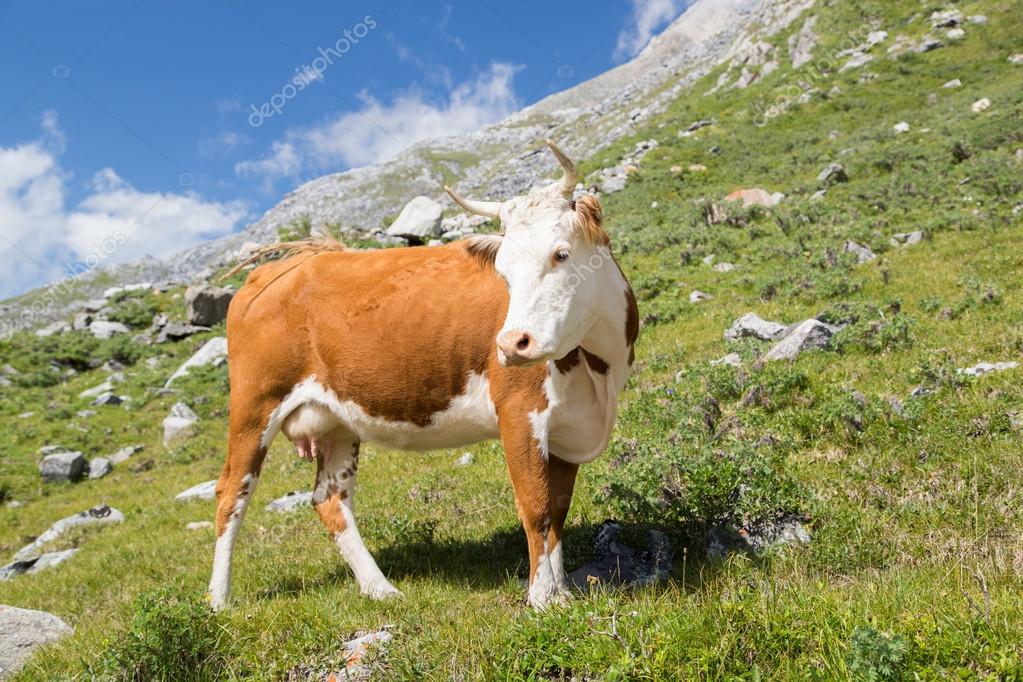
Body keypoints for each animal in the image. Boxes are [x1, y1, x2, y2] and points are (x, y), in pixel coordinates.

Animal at [207, 140, 638, 610]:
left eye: (561, 253)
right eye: (502, 272)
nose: (511, 344)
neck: (598, 371)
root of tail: (278, 269)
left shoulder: (568, 423)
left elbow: (557, 510)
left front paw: (561, 594)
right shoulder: (519, 411)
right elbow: (536, 507)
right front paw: (542, 599)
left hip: (337, 418)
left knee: (329, 498)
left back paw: (380, 588)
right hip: (254, 405)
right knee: (231, 494)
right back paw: (218, 601)